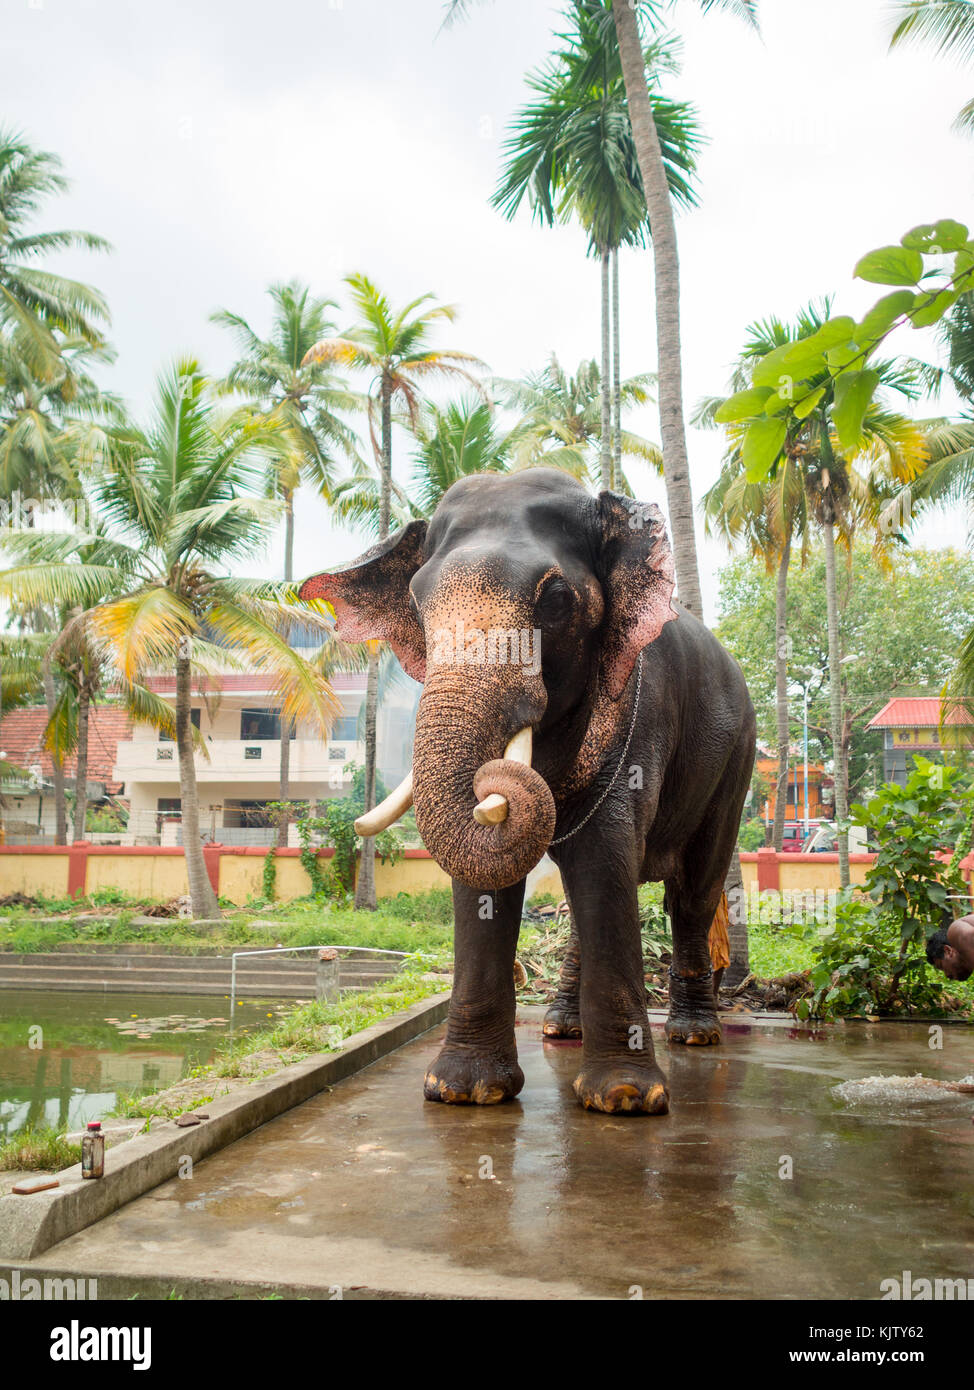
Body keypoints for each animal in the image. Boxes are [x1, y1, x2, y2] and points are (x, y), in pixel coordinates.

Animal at [300, 468, 756, 1115]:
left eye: (557, 599)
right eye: (416, 603)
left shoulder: (642, 717)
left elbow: (604, 858)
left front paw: (625, 1098)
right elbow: (497, 881)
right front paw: (461, 1092)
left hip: (737, 753)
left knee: (692, 889)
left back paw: (694, 1036)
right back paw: (561, 1029)